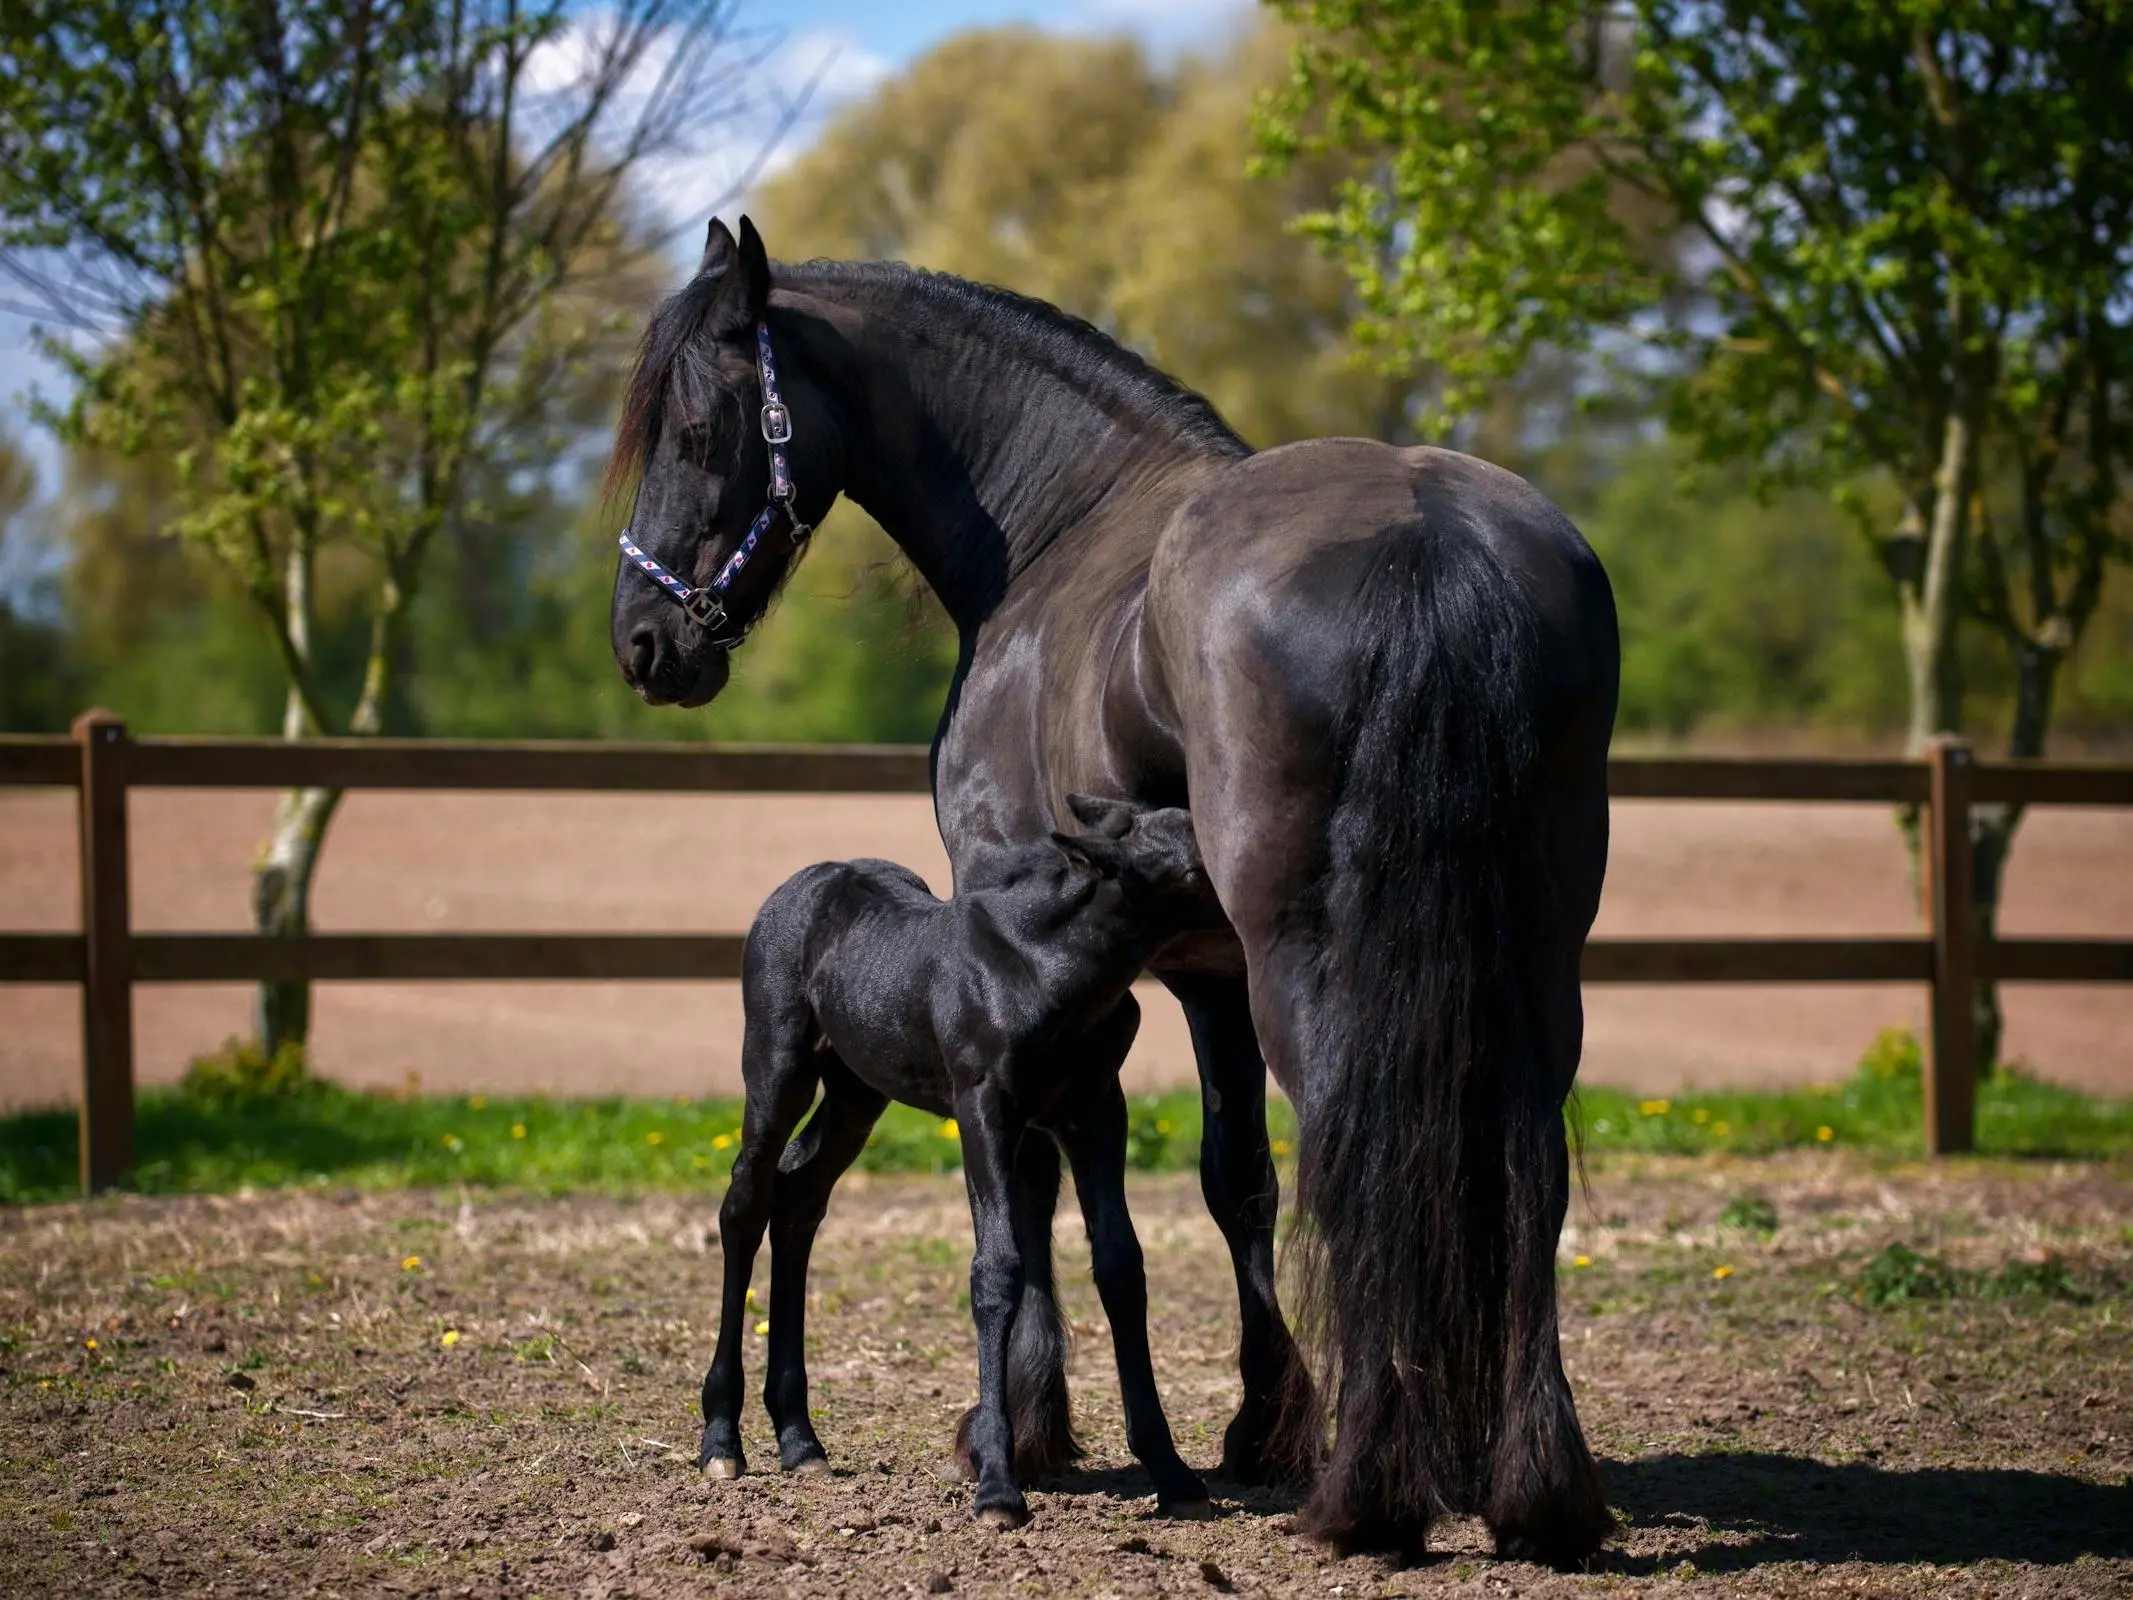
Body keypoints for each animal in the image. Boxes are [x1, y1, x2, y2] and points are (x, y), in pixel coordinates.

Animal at [701, 796, 1222, 1526]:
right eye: (1194, 862)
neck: (1045, 967)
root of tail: (800, 885)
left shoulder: (1097, 1110)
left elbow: (1121, 1265)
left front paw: (1171, 1472)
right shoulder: (983, 1107)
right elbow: (996, 1270)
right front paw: (997, 1486)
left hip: (857, 1091)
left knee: (798, 1198)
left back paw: (800, 1440)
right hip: (778, 1068)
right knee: (745, 1205)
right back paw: (722, 1440)